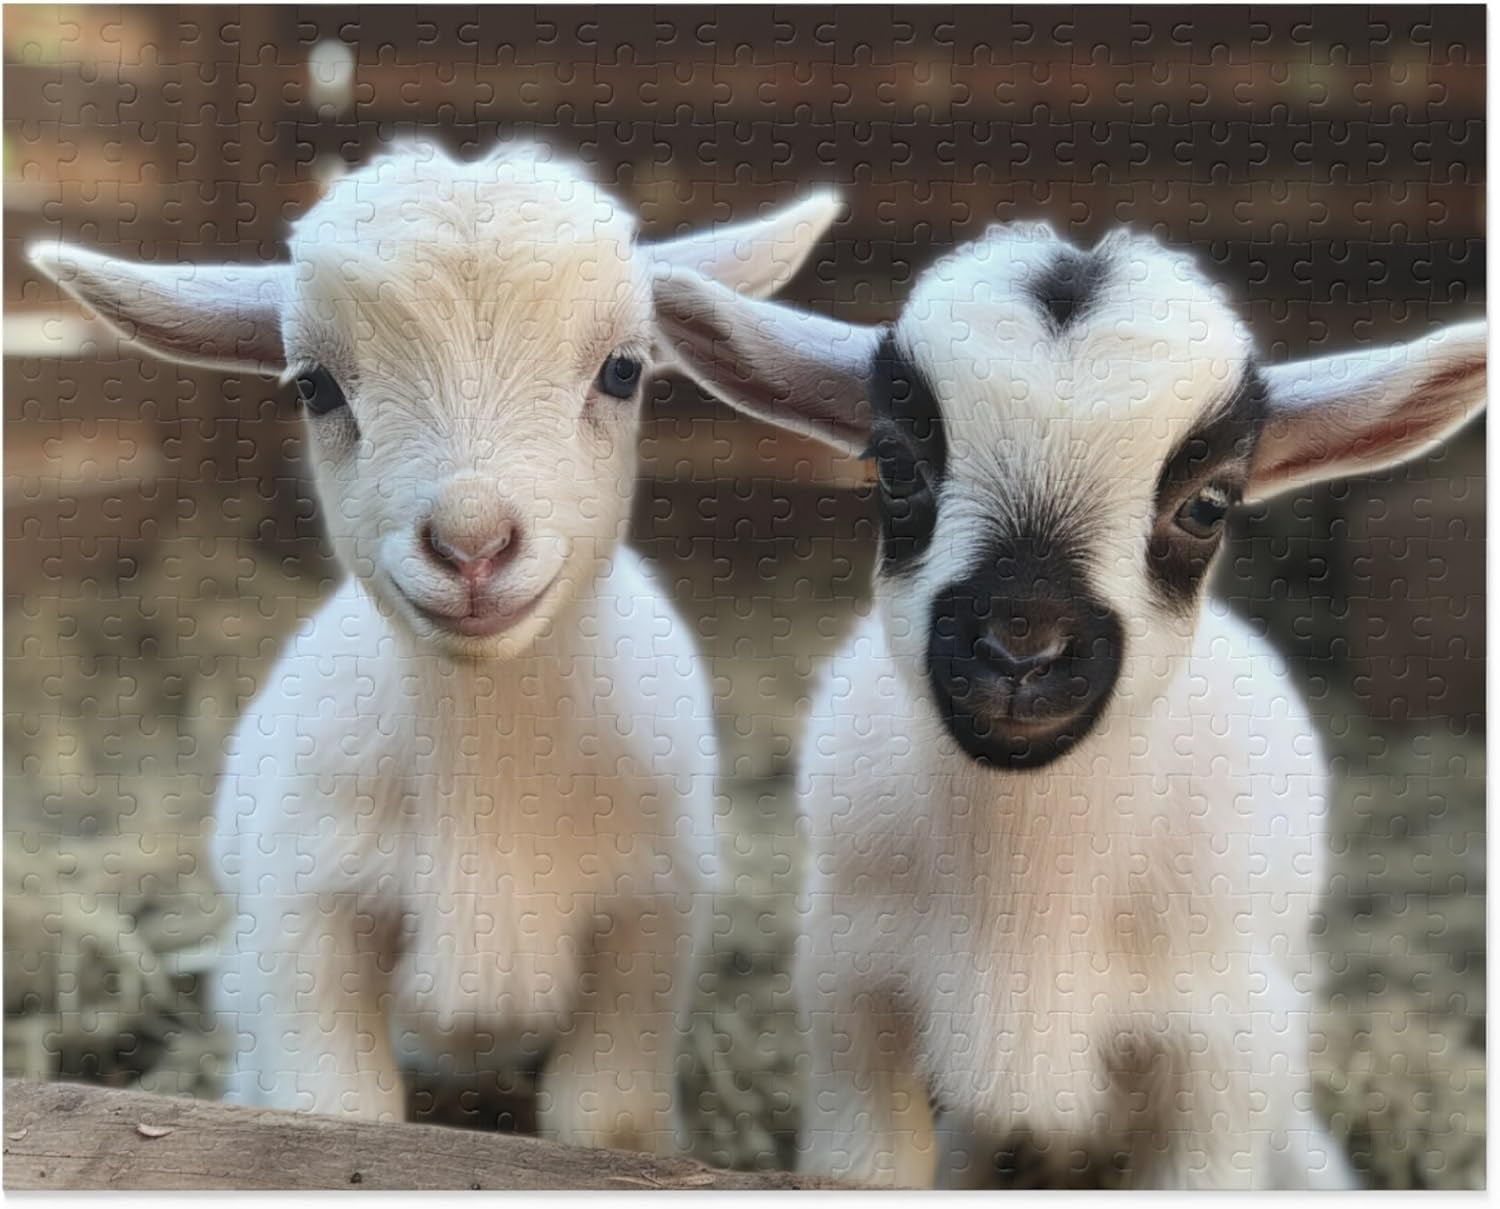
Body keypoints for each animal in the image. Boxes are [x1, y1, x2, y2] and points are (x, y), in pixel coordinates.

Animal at [29, 140, 840, 1154]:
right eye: (314, 386)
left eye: (622, 371)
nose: (472, 544)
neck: (483, 764)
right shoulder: (306, 915)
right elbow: (328, 1109)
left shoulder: (652, 922)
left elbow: (606, 1121)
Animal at [653, 222, 1486, 1187]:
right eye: (894, 465)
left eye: (1208, 505)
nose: (1023, 650)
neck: (1030, 885)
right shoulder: (852, 998)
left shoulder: (1224, 1059)